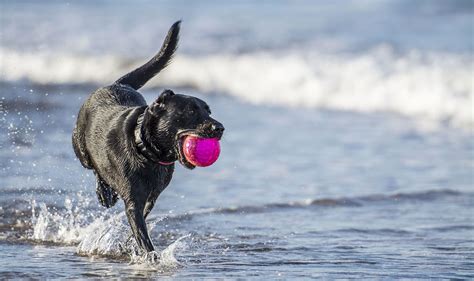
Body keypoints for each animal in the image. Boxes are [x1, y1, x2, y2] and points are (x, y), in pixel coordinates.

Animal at [71, 21, 225, 253]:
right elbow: (142, 235)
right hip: (80, 148)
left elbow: (140, 223)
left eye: (208, 111)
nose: (220, 128)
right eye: (190, 111)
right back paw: (105, 192)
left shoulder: (151, 198)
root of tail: (116, 84)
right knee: (93, 167)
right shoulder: (133, 202)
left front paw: (128, 245)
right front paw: (149, 255)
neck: (146, 152)